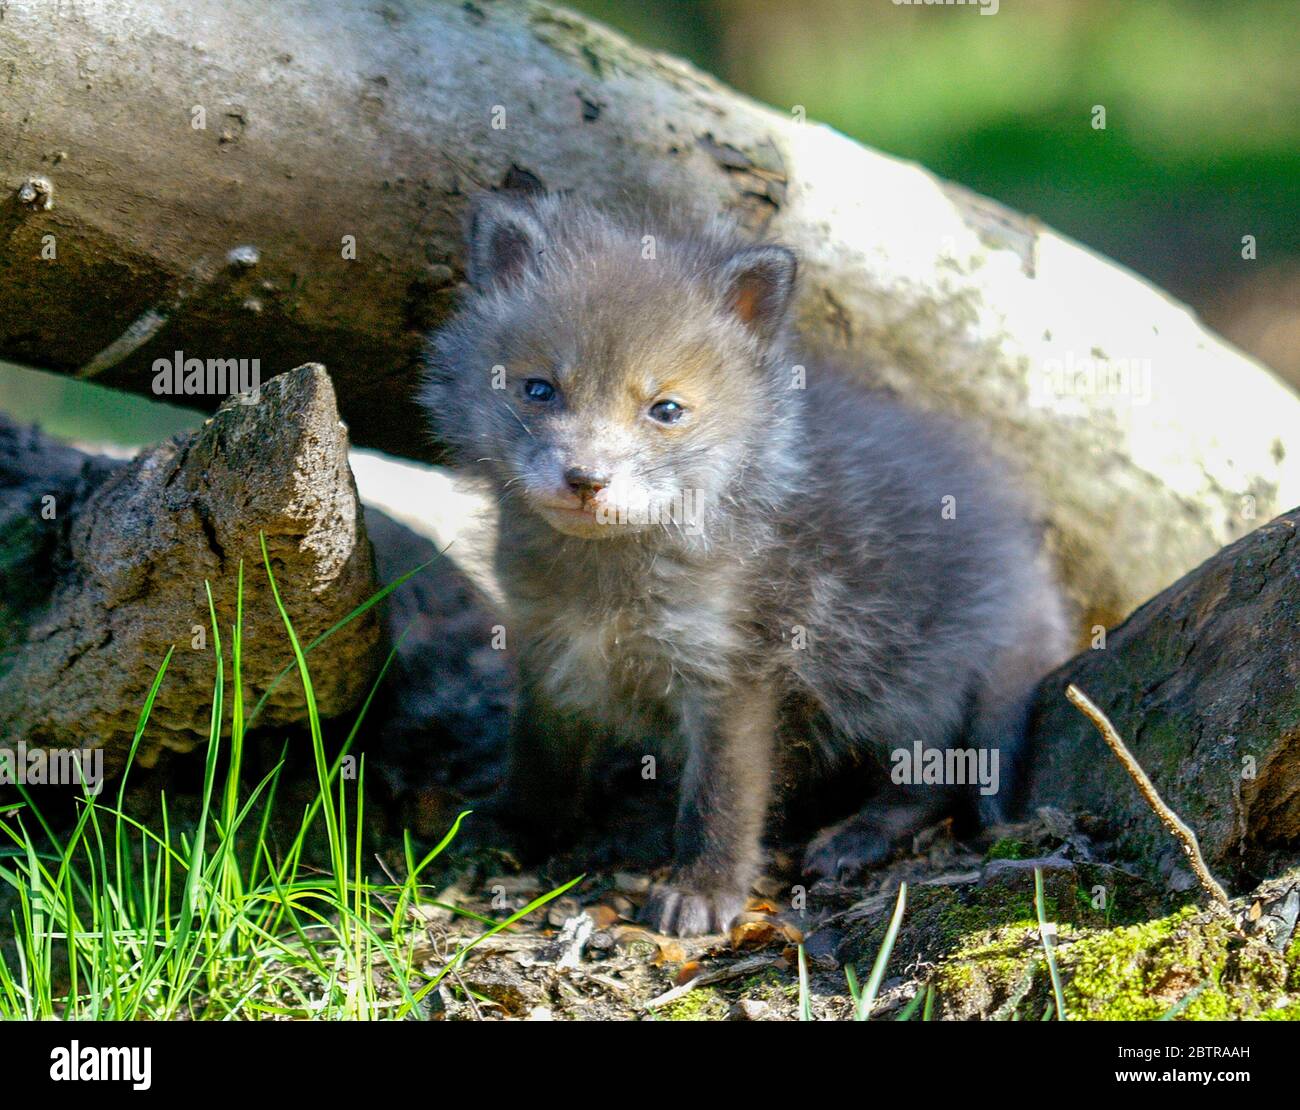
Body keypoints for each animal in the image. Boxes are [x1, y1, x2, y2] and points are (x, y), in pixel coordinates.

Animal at [420, 191, 1069, 937]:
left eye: (666, 408)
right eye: (538, 390)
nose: (585, 479)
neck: (608, 585)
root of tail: (1030, 583)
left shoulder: (736, 675)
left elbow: (722, 798)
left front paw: (703, 889)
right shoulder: (547, 648)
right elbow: (538, 759)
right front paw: (513, 828)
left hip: (909, 680)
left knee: (937, 775)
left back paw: (857, 836)